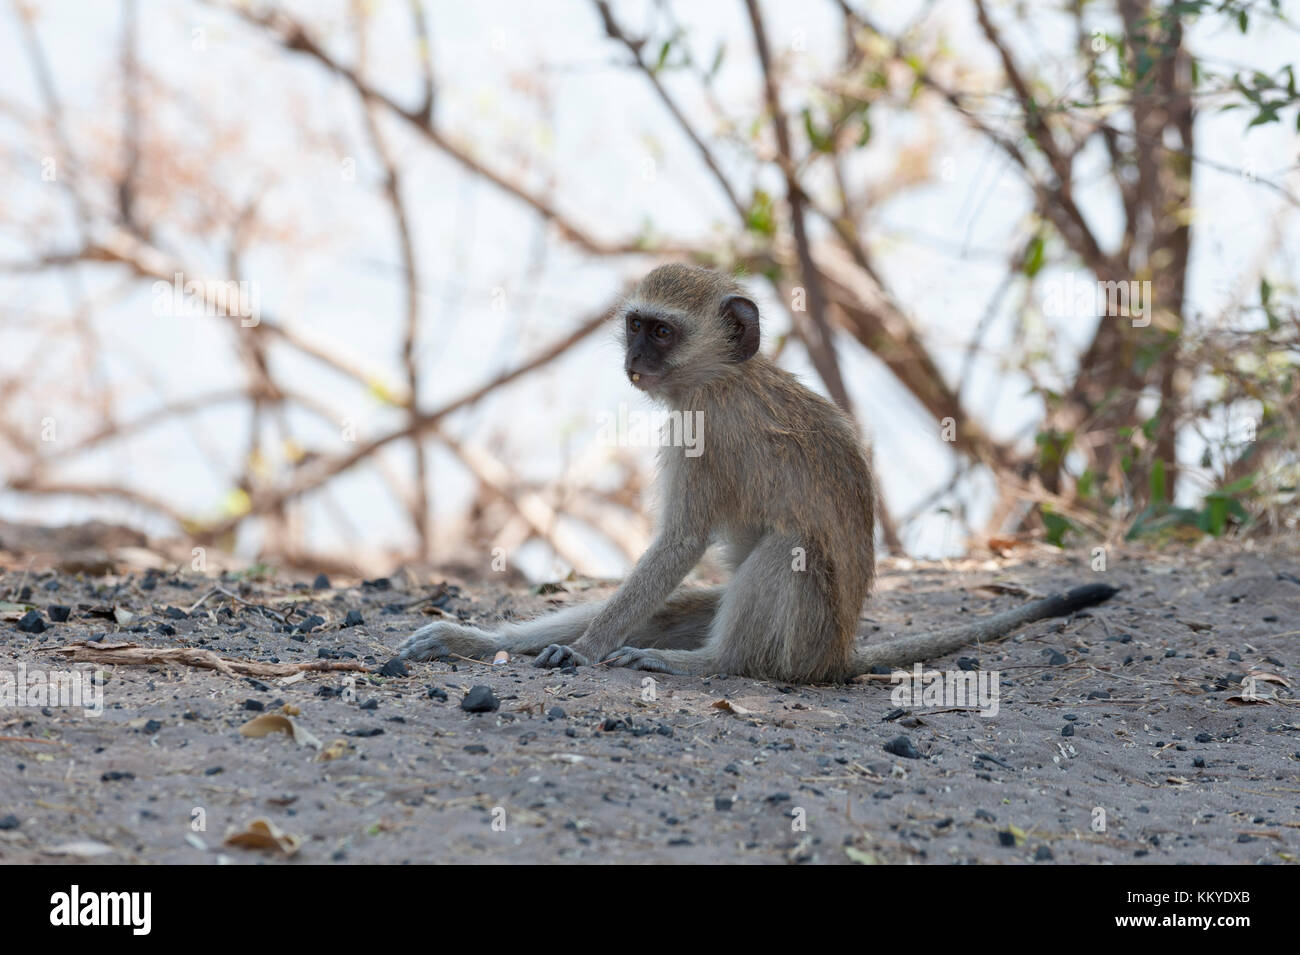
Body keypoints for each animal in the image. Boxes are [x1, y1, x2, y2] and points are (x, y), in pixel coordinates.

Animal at [395, 264, 1117, 683]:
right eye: (635, 325)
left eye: (660, 332)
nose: (633, 362)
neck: (725, 375)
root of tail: (838, 653)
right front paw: (488, 638)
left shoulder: (704, 432)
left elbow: (680, 542)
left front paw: (584, 650)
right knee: (685, 602)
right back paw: (481, 641)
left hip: (803, 639)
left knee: (787, 552)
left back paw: (706, 662)